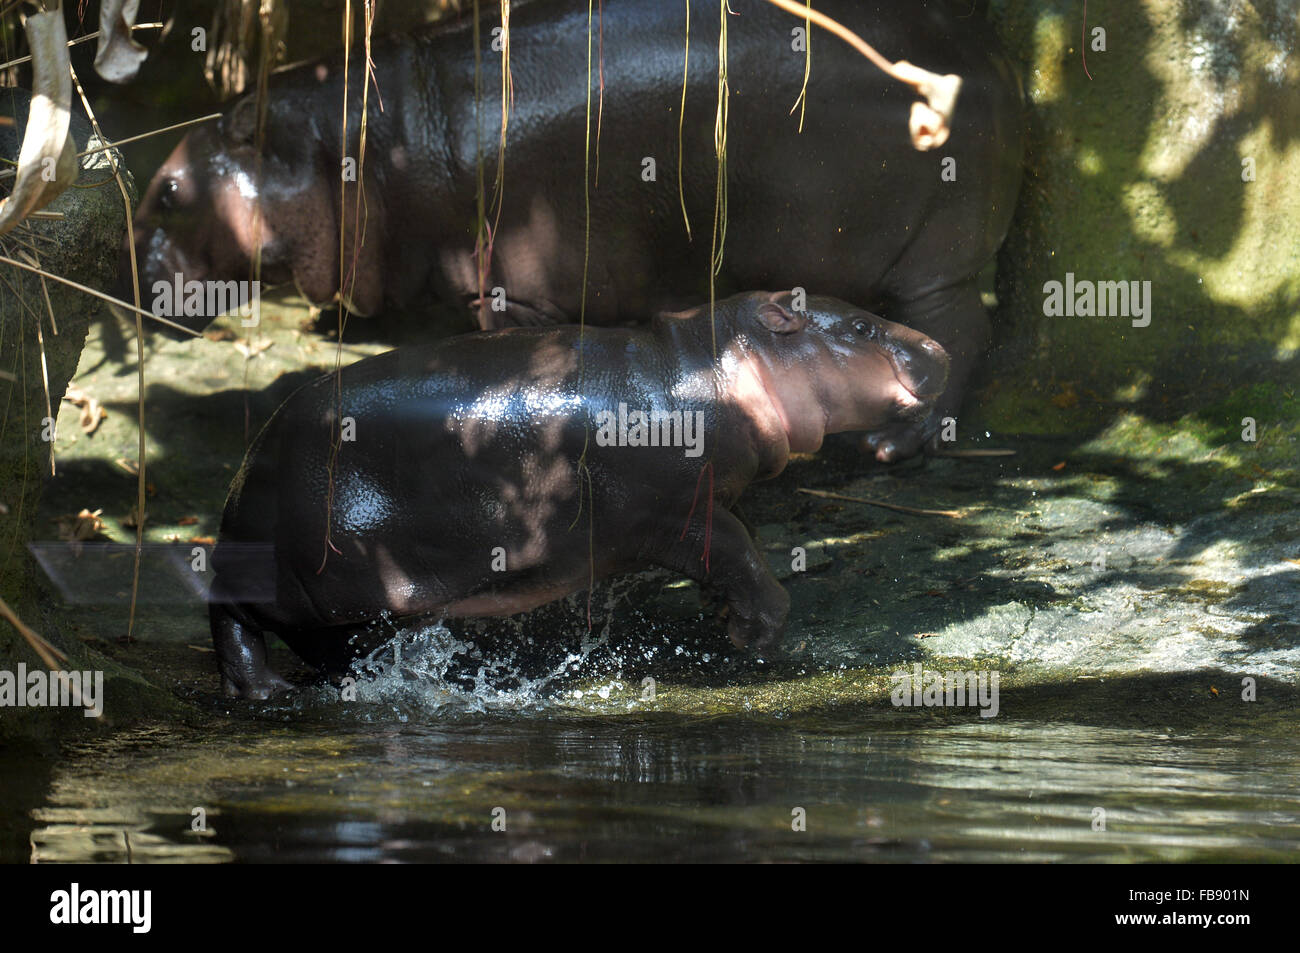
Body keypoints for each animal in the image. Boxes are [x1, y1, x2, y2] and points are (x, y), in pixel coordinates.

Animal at [127, 0, 1021, 461]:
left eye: (167, 191)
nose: (131, 270)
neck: (354, 142)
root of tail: (999, 62)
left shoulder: (515, 294)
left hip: (935, 258)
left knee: (958, 335)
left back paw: (893, 446)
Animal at [209, 292, 948, 698]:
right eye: (862, 329)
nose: (938, 347)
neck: (712, 363)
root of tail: (245, 469)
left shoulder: (716, 499)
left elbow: (744, 555)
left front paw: (726, 621)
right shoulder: (678, 515)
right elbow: (744, 557)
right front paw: (759, 637)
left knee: (318, 641)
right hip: (305, 579)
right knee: (232, 613)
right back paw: (267, 690)